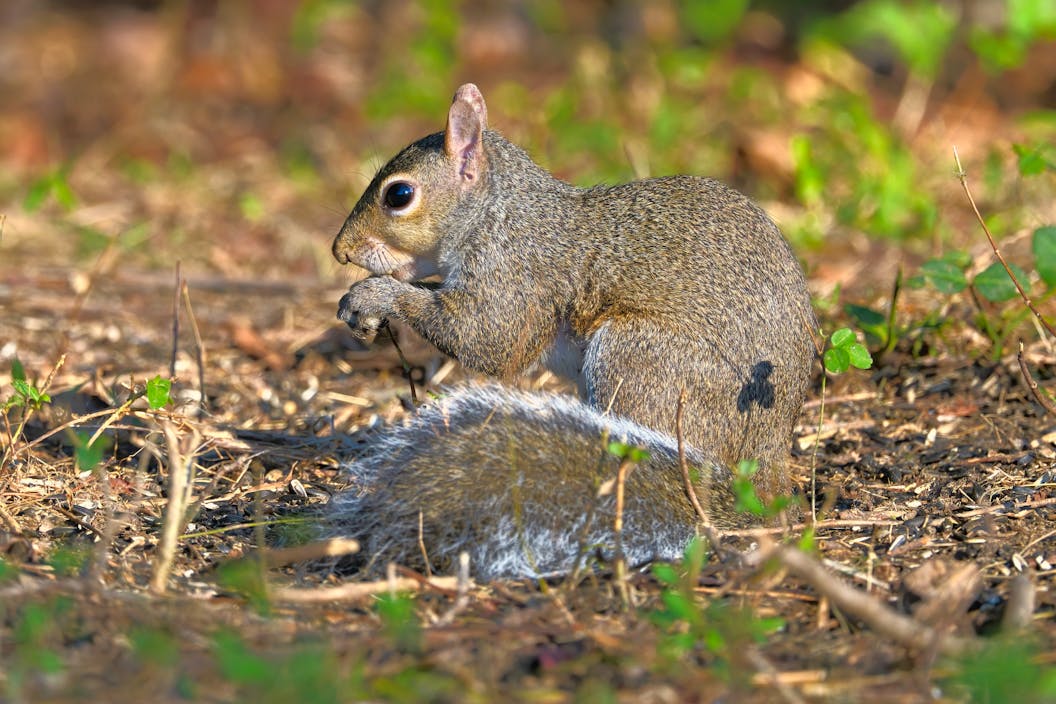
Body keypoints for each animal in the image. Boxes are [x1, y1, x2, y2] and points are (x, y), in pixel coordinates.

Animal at [329, 84, 816, 579]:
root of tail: (766, 469)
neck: (498, 213)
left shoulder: (515, 273)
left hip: (639, 359)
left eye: (399, 194)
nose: (340, 250)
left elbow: (487, 338)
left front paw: (374, 295)